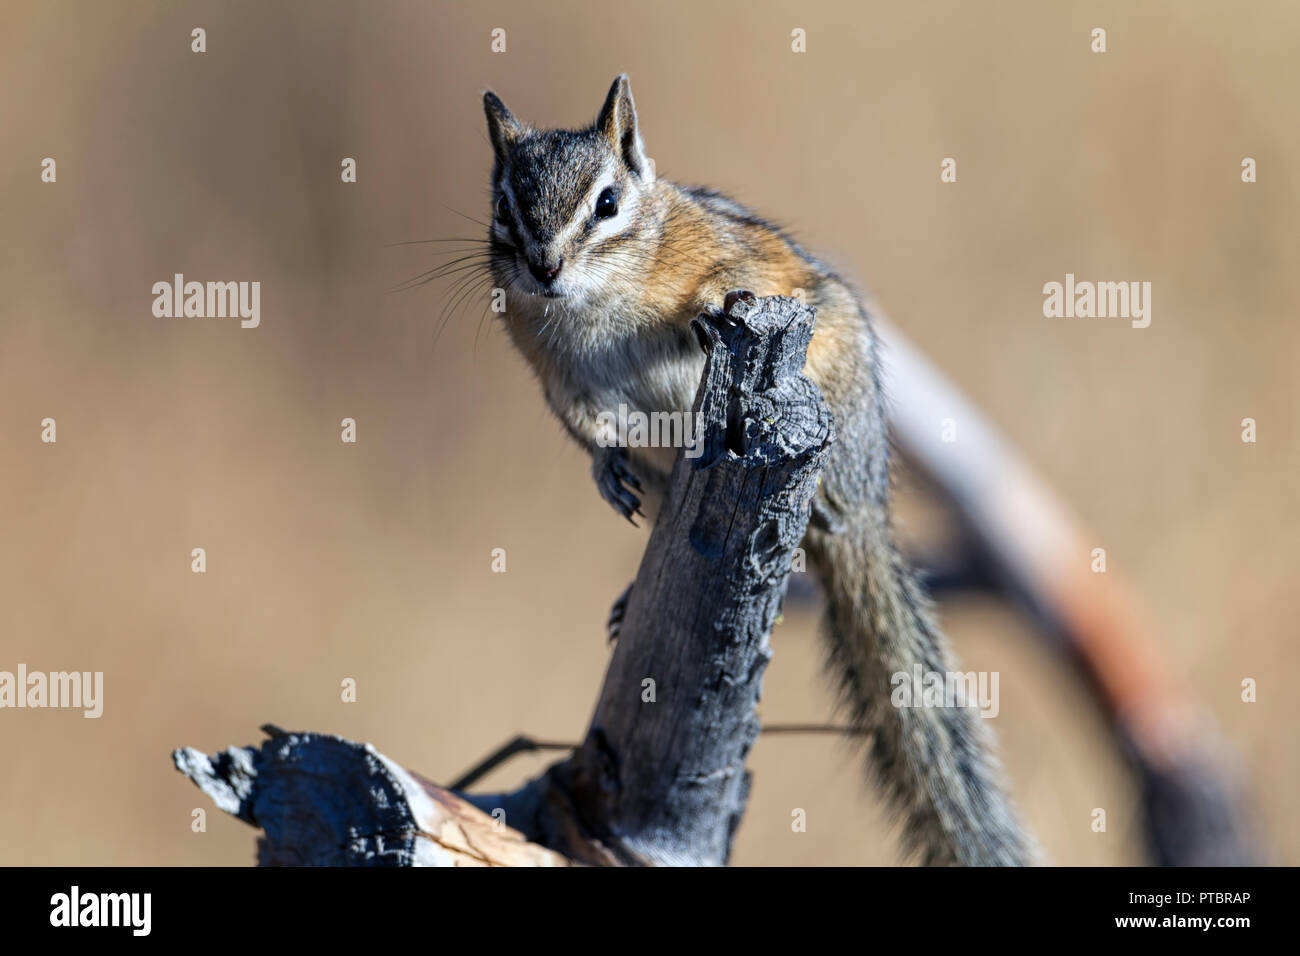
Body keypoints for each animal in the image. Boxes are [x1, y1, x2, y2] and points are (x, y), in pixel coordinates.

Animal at [478, 74, 1034, 866]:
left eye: (607, 203)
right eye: (503, 208)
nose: (544, 267)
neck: (595, 302)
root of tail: (872, 511)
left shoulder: (730, 251)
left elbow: (734, 276)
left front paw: (715, 299)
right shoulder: (562, 381)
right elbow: (590, 429)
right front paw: (606, 469)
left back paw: (827, 500)